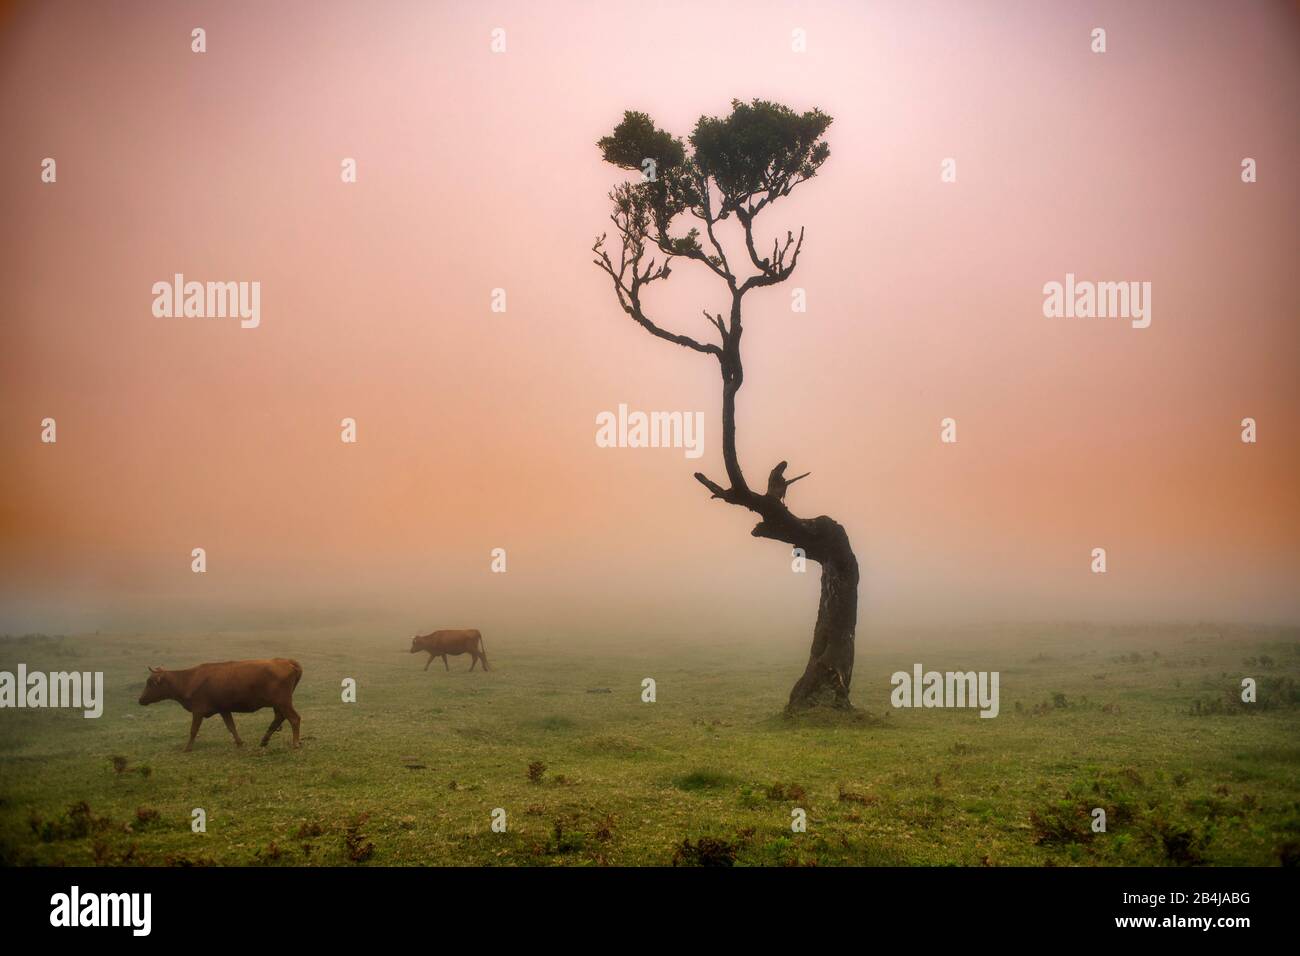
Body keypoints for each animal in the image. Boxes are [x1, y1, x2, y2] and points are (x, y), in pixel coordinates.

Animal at [138, 659, 303, 751]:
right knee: (279, 718)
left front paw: (187, 748)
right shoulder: (224, 709)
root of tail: (287, 662)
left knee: (294, 719)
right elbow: (231, 726)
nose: (140, 700)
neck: (188, 680)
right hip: (279, 703)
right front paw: (239, 742)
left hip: (283, 702)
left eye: (150, 683)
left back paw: (295, 743)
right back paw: (264, 740)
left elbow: (193, 730)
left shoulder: (198, 710)